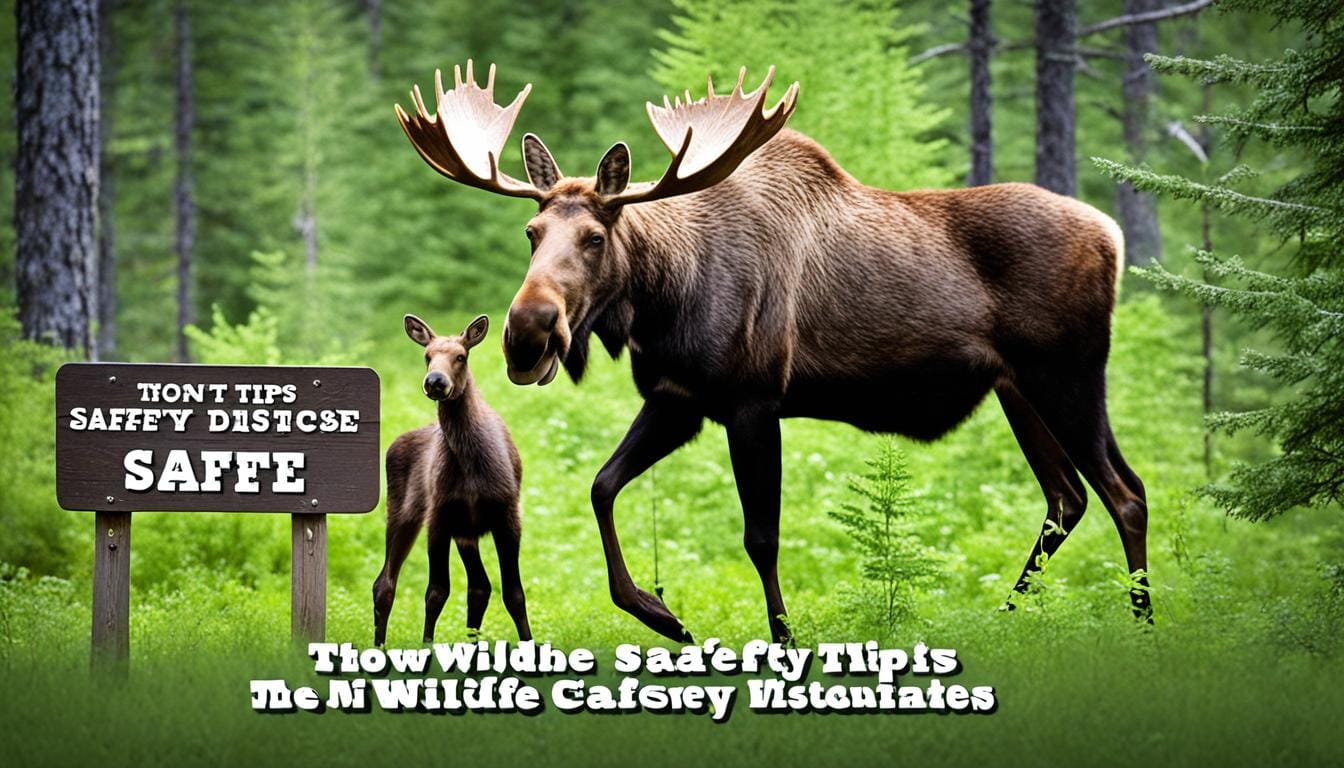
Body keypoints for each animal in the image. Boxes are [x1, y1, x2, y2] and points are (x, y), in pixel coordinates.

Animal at [372, 312, 531, 645]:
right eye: (427, 356)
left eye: (461, 356)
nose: (435, 381)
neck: (472, 465)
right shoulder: (439, 515)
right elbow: (436, 592)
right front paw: (427, 647)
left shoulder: (507, 515)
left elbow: (514, 594)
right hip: (404, 513)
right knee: (384, 583)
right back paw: (377, 646)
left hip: (465, 532)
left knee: (480, 586)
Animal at [396, 61, 1149, 644]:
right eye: (531, 232)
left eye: (595, 238)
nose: (526, 331)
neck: (666, 297)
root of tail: (1114, 236)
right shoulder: (679, 402)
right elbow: (602, 486)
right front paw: (661, 614)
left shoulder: (753, 401)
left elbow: (760, 536)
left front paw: (784, 640)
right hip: (1017, 389)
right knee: (1067, 498)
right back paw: (1011, 613)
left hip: (1067, 374)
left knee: (1126, 493)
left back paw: (1144, 624)